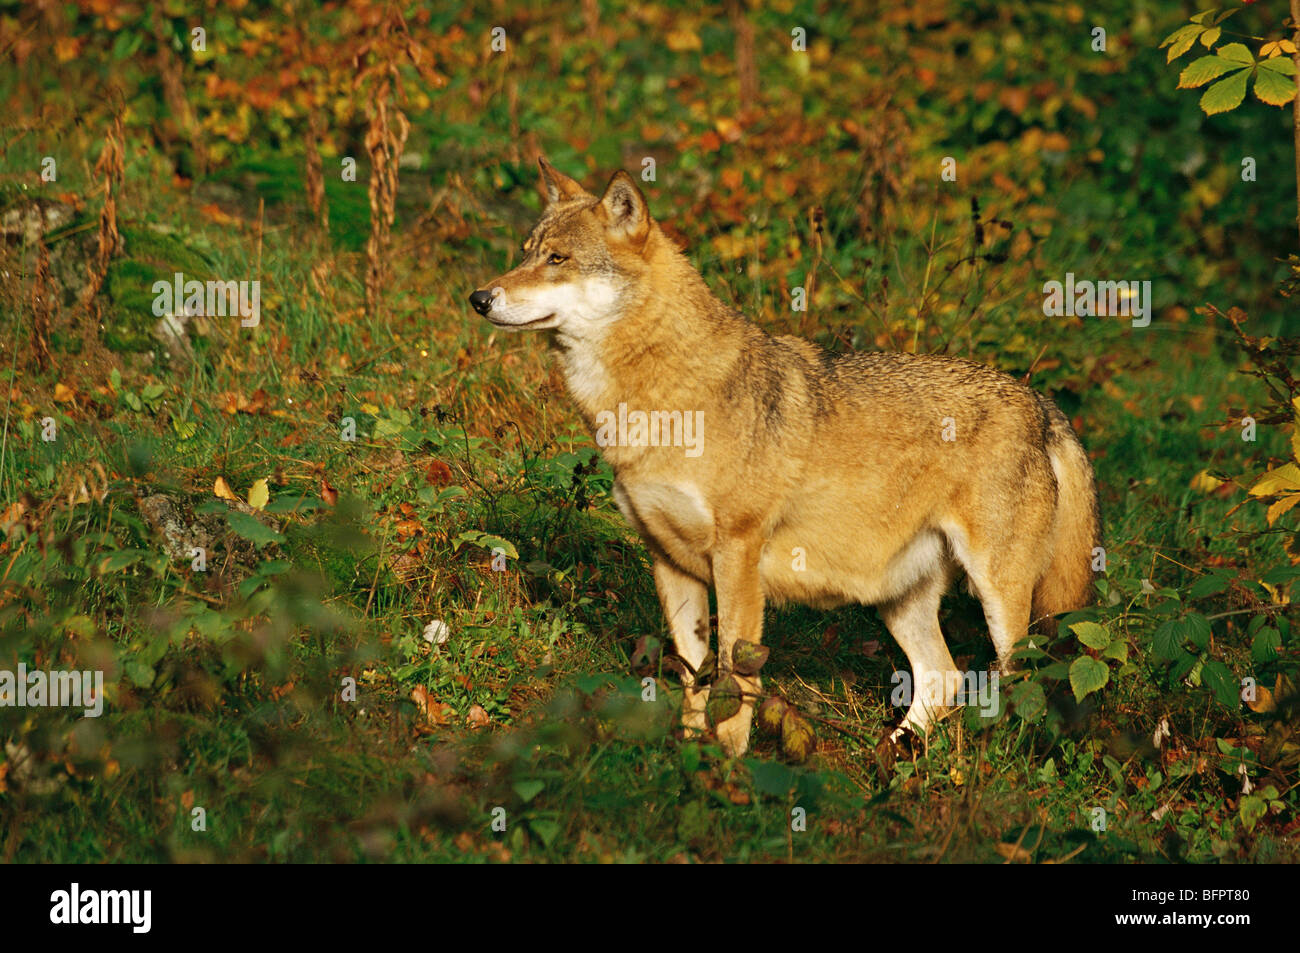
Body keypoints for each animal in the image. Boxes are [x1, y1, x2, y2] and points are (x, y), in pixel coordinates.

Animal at [469, 158, 1101, 757]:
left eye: (558, 259)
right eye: (525, 253)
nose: (479, 298)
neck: (659, 399)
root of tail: (1042, 404)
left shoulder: (738, 554)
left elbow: (734, 675)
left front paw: (729, 762)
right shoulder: (669, 561)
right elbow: (695, 673)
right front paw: (687, 758)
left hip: (1001, 599)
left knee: (1018, 681)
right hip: (899, 601)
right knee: (943, 680)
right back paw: (892, 756)